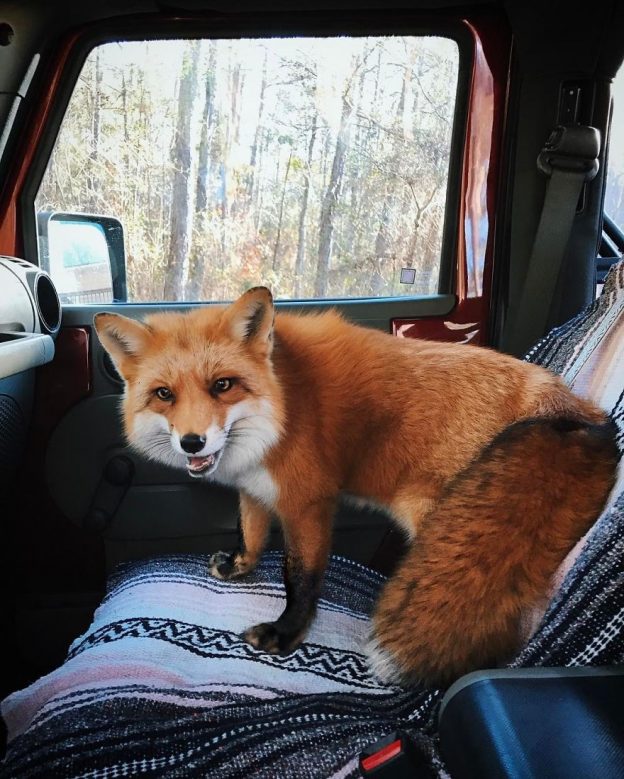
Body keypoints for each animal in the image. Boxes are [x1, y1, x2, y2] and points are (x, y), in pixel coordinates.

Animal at [94, 286, 619, 686]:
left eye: (222, 385)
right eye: (164, 395)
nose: (192, 442)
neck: (282, 404)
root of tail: (574, 409)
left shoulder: (308, 502)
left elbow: (300, 578)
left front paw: (287, 635)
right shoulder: (256, 487)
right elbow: (251, 531)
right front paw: (241, 566)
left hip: (436, 521)